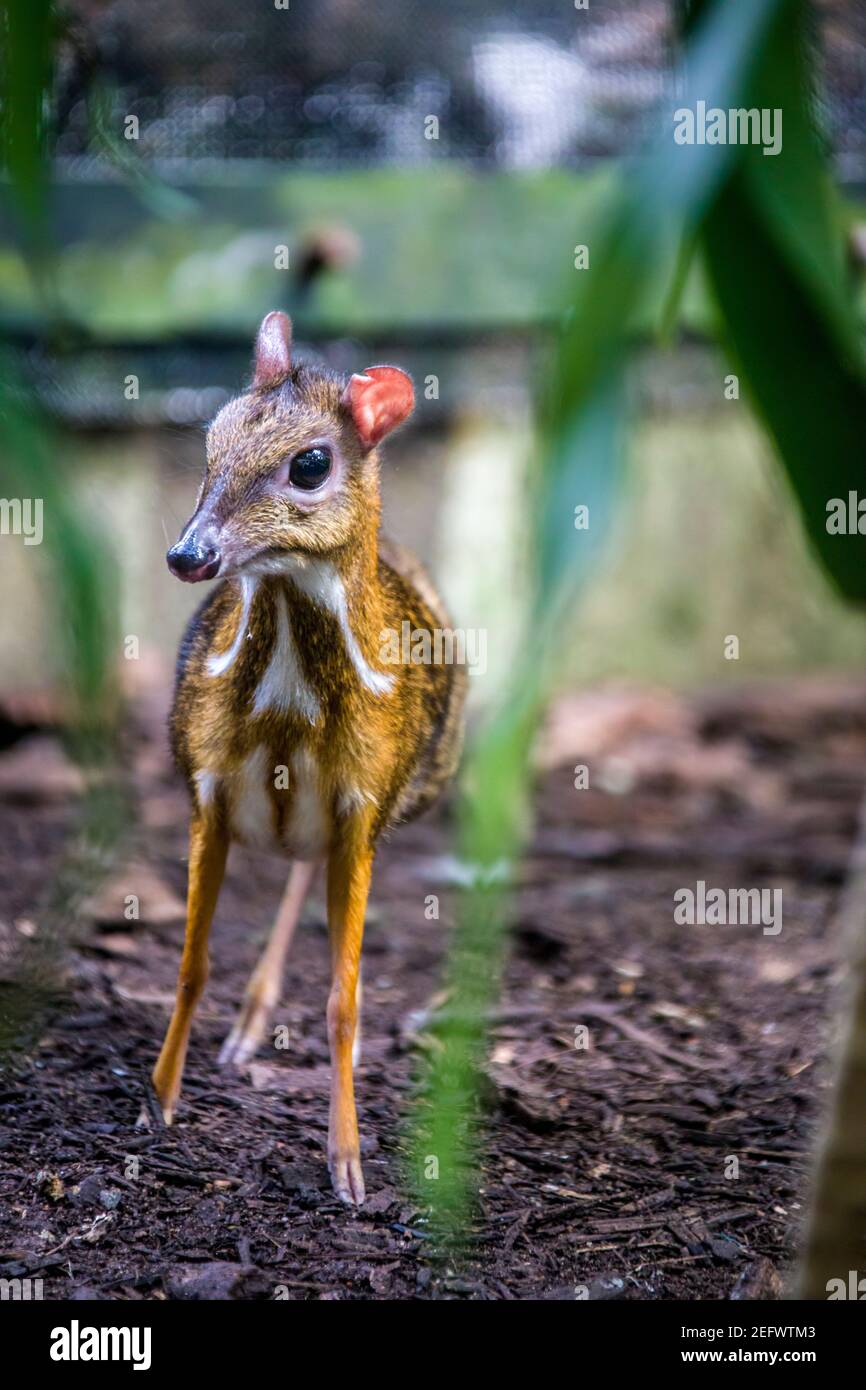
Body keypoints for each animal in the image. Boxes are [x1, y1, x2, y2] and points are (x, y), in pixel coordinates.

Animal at [152, 311, 466, 1205]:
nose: (188, 555)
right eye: (211, 439)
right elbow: (190, 964)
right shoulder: (207, 790)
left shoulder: (365, 806)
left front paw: (348, 1164)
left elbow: (344, 1001)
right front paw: (160, 1099)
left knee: (309, 872)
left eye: (311, 464)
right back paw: (244, 1030)